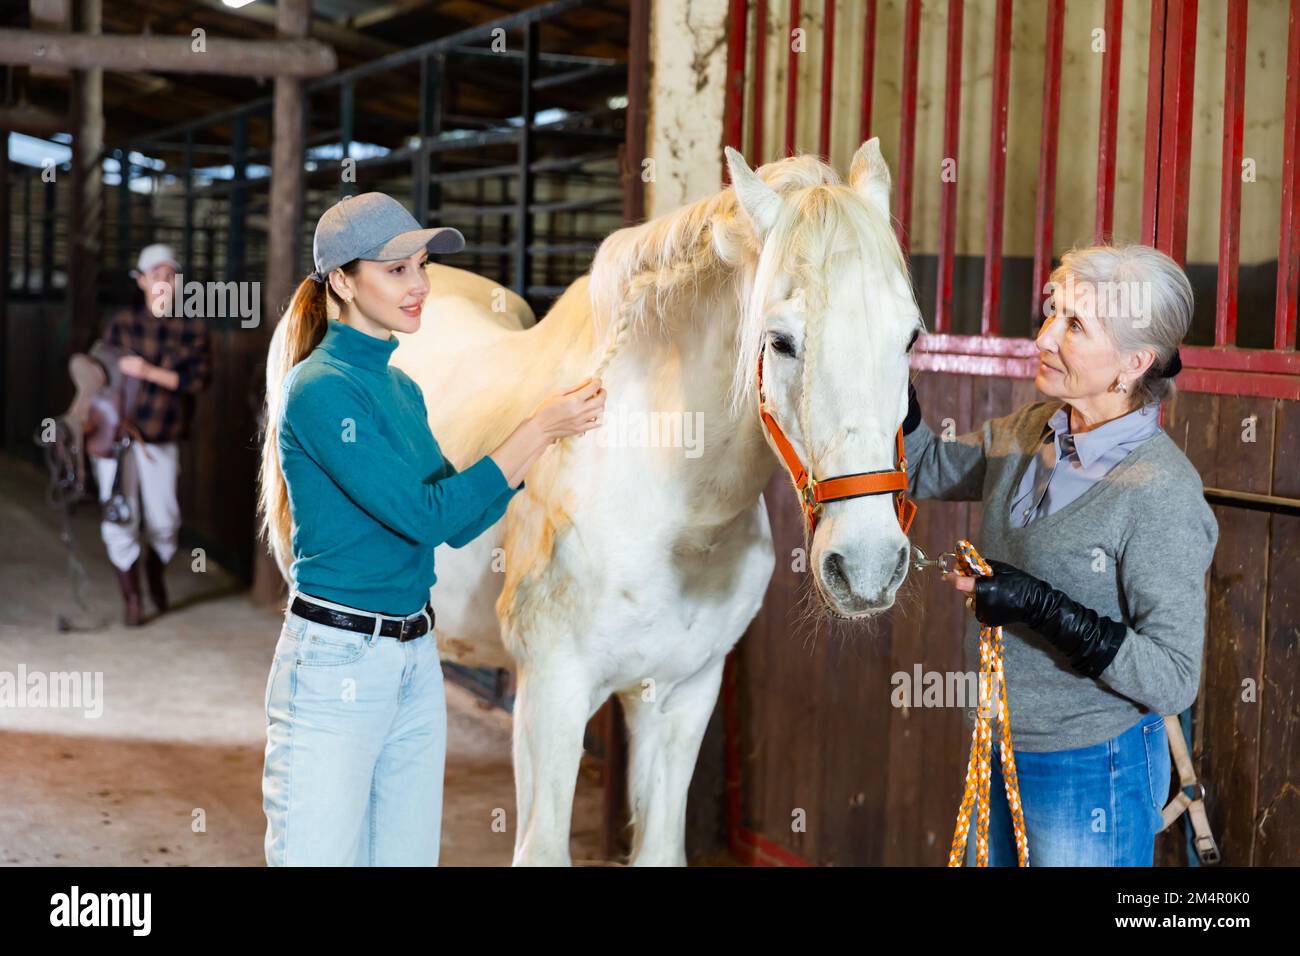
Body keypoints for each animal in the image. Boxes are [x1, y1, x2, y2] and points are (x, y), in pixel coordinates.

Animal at [265, 138, 924, 865]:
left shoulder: (682, 694)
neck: (674, 513)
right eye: (780, 341)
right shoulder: (552, 696)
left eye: (911, 337)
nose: (867, 564)